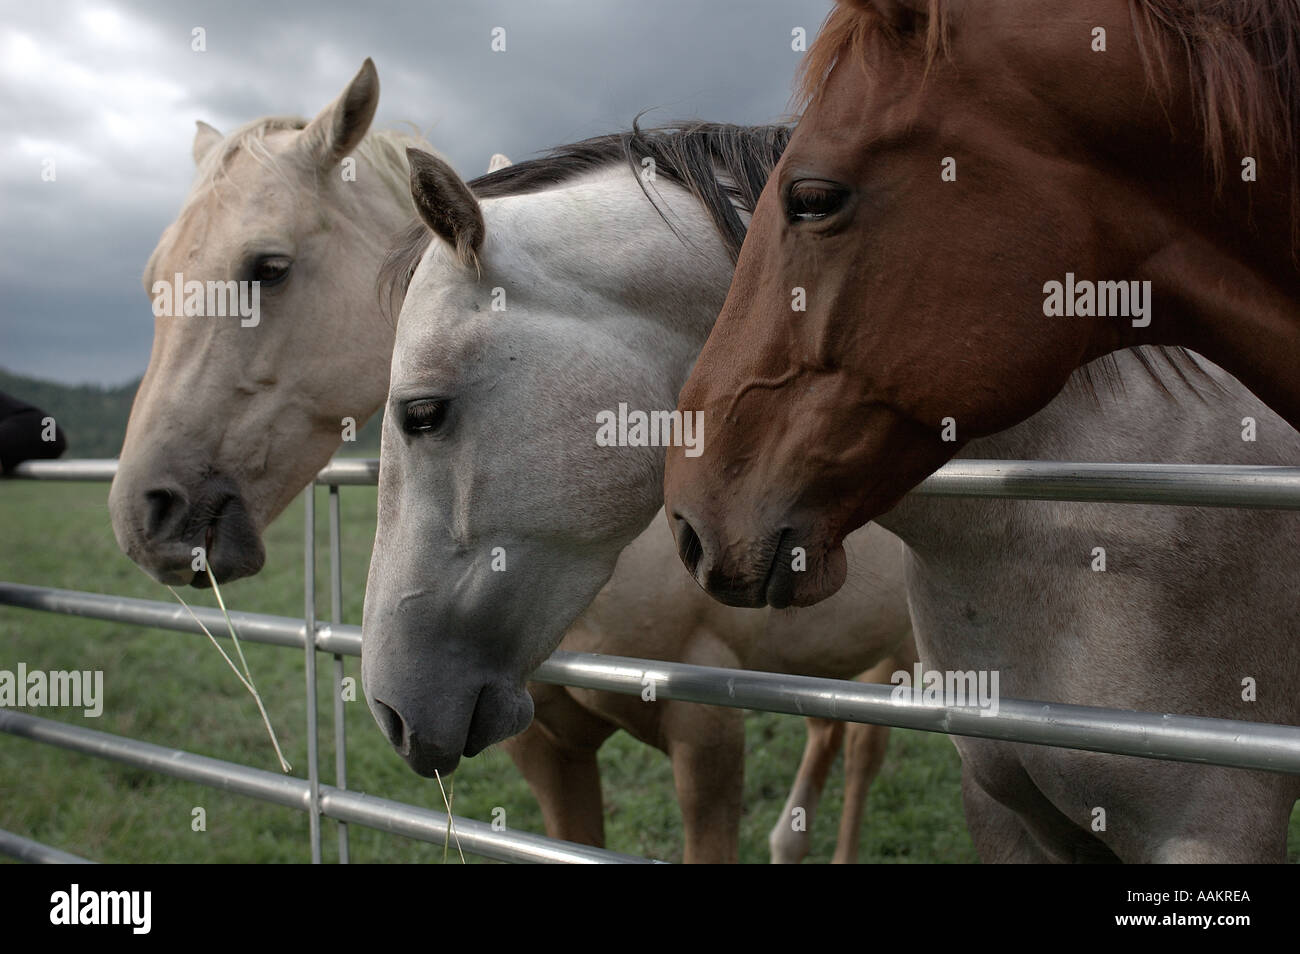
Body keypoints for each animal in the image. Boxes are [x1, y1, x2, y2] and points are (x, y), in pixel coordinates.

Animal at [110, 62, 905, 862]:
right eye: (151, 281)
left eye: (266, 268)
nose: (142, 515)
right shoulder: (548, 744)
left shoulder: (706, 731)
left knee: (864, 748)